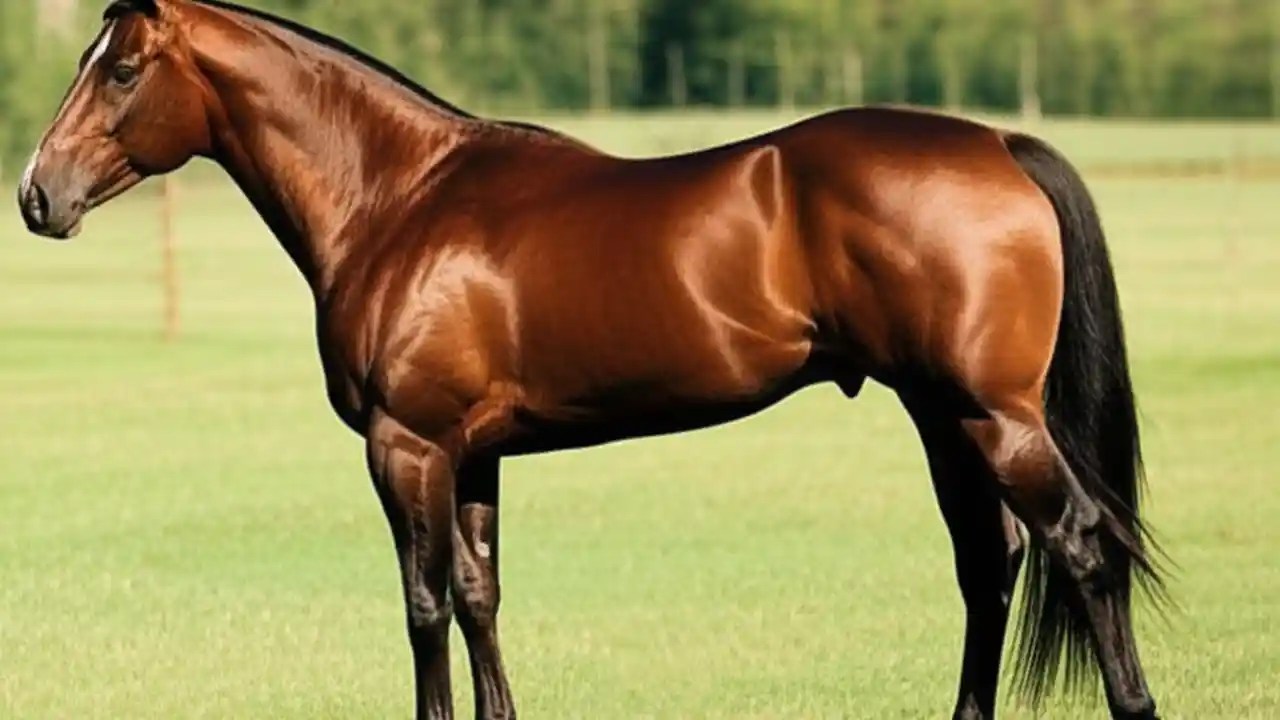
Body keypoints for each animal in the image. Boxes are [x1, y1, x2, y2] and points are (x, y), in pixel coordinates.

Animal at [16, 1, 1166, 718]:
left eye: (121, 70)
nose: (37, 195)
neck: (400, 198)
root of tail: (999, 144)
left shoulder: (407, 448)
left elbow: (425, 606)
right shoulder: (472, 455)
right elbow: (480, 596)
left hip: (990, 417)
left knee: (1076, 545)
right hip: (941, 416)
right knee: (989, 564)